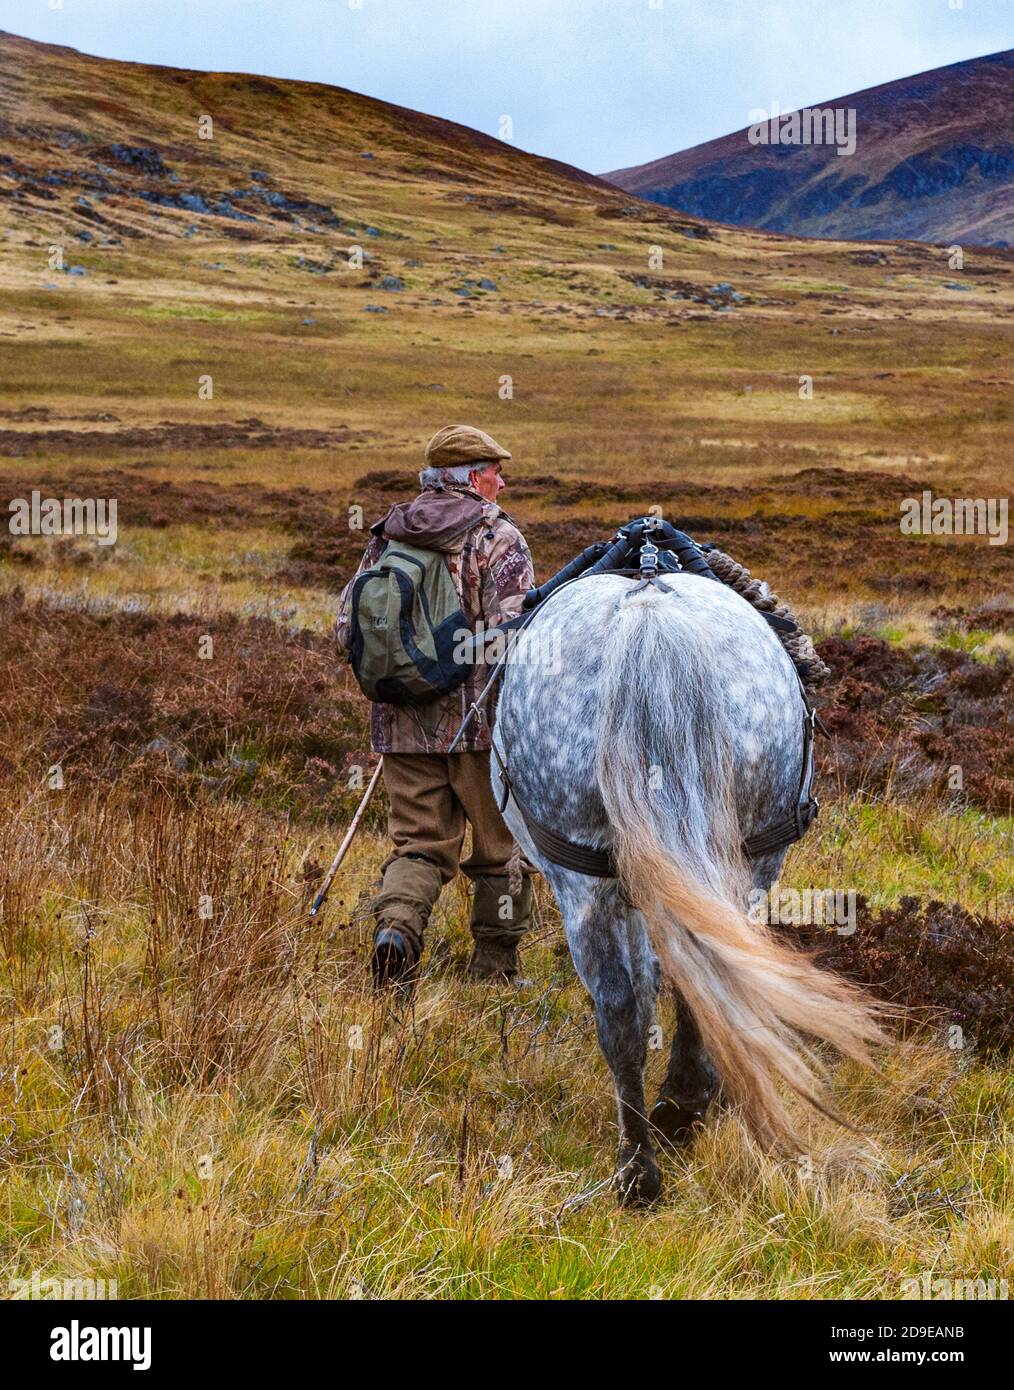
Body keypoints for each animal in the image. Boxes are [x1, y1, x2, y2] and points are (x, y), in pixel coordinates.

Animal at [492, 570, 883, 1206]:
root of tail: (650, 611)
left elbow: (647, 977)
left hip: (584, 880)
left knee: (621, 1011)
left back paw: (643, 1159)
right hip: (747, 859)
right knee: (703, 977)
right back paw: (672, 1120)